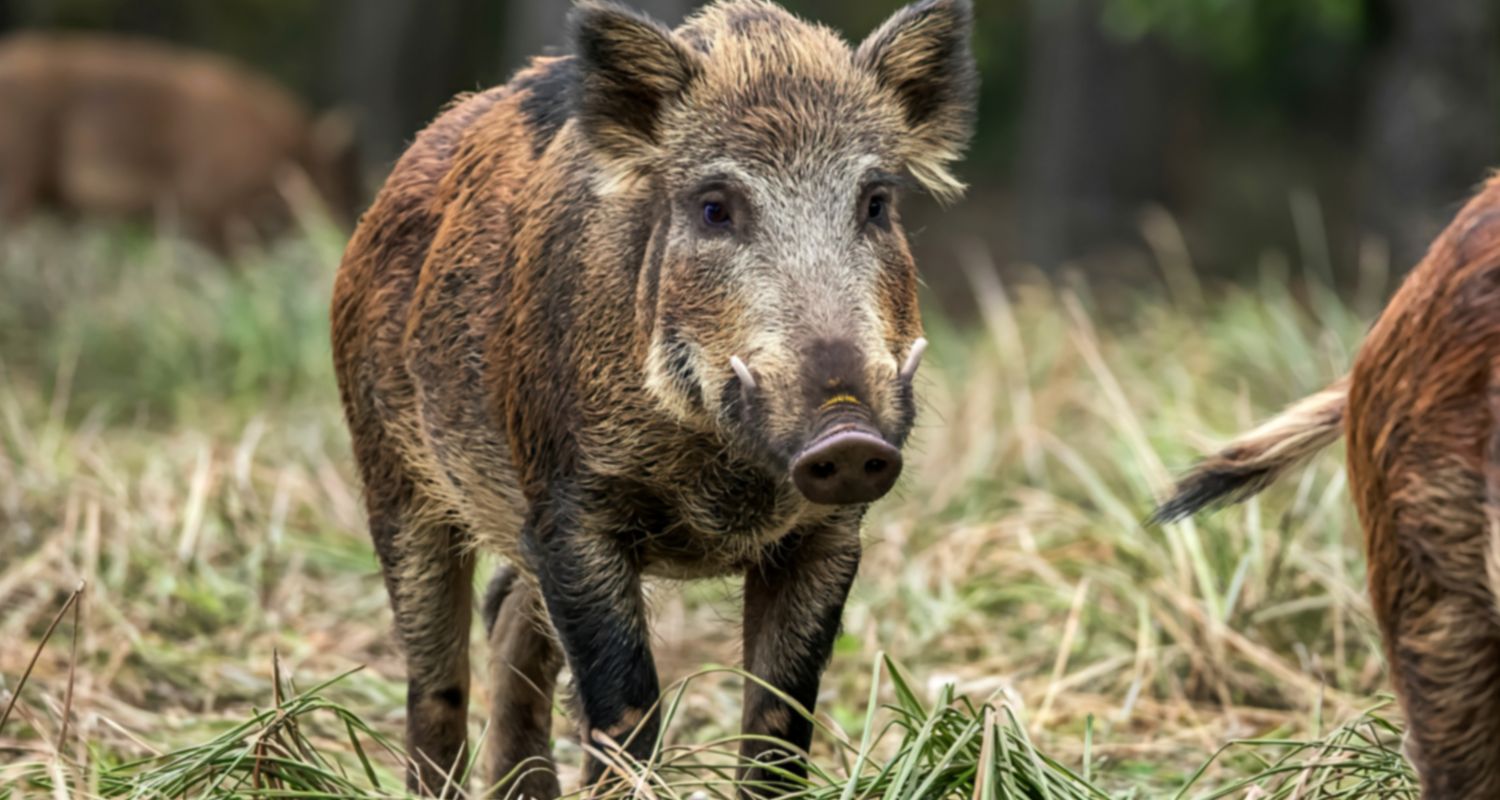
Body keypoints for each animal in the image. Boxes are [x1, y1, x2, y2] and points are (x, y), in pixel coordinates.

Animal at [329, 0, 976, 795]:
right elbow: (627, 708)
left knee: (508, 613)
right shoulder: (570, 510)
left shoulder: (829, 532)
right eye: (714, 208)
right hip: (391, 473)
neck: (721, 476)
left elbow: (778, 723)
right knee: (434, 681)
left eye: (877, 203)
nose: (847, 434)